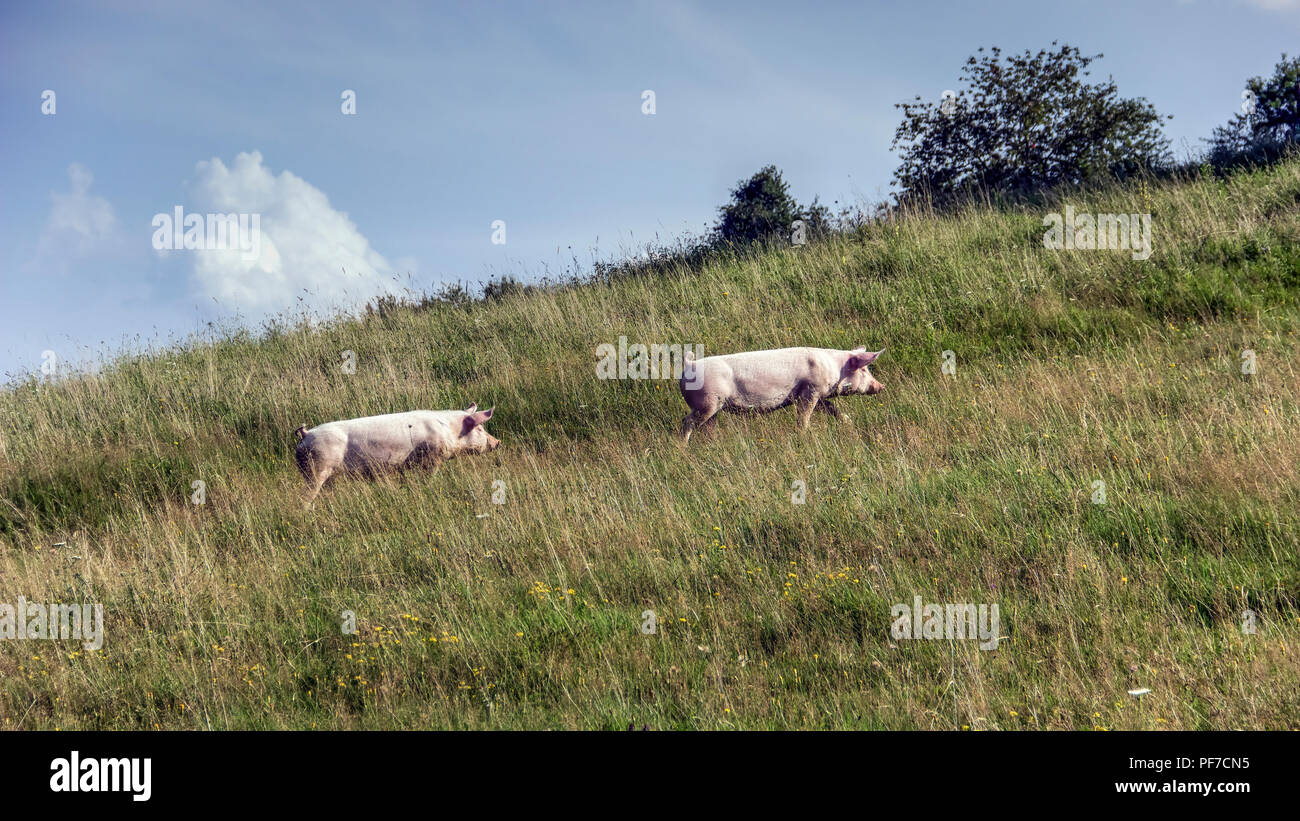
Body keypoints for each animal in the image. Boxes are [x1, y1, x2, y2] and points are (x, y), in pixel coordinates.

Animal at [294, 403, 499, 502]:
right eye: (480, 429)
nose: (497, 442)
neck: (450, 430)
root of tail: (306, 434)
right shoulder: (432, 457)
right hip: (316, 469)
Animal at [679, 346, 884, 441]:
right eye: (863, 369)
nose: (881, 386)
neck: (833, 367)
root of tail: (689, 365)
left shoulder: (817, 395)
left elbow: (833, 409)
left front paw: (848, 423)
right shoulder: (810, 391)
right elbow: (804, 417)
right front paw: (803, 433)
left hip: (714, 408)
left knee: (707, 427)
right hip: (707, 403)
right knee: (686, 422)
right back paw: (683, 447)